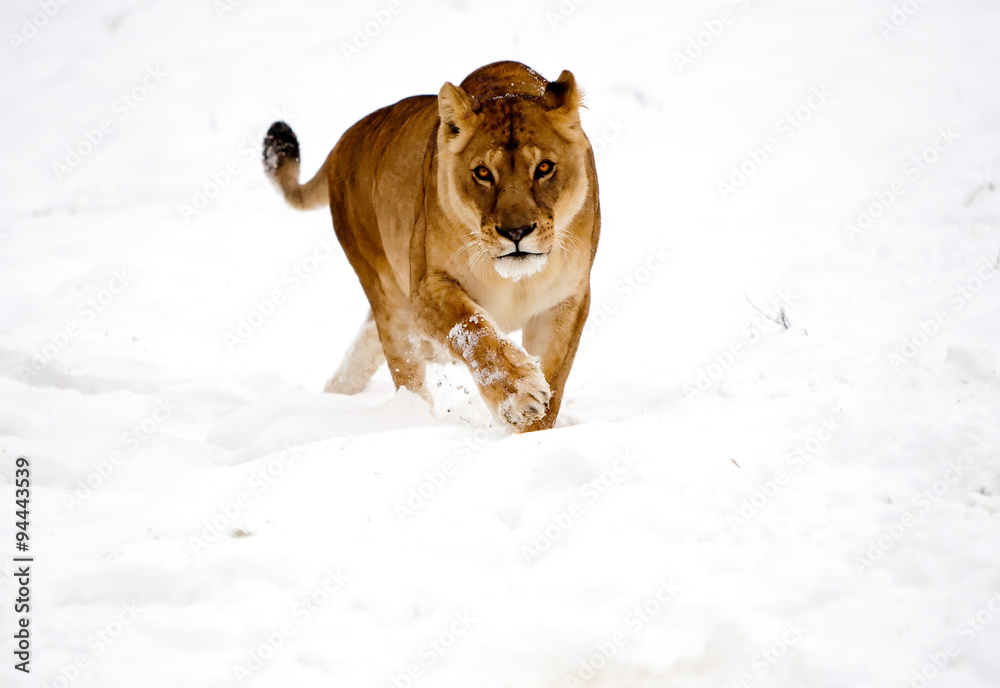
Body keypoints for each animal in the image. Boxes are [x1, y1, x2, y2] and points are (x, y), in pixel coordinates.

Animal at [262, 61, 600, 432]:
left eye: (544, 167)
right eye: (483, 173)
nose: (516, 232)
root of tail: (346, 140)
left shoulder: (565, 300)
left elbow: (554, 375)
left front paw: (531, 432)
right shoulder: (426, 290)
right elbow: (472, 330)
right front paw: (519, 395)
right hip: (390, 299)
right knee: (404, 365)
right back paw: (409, 422)